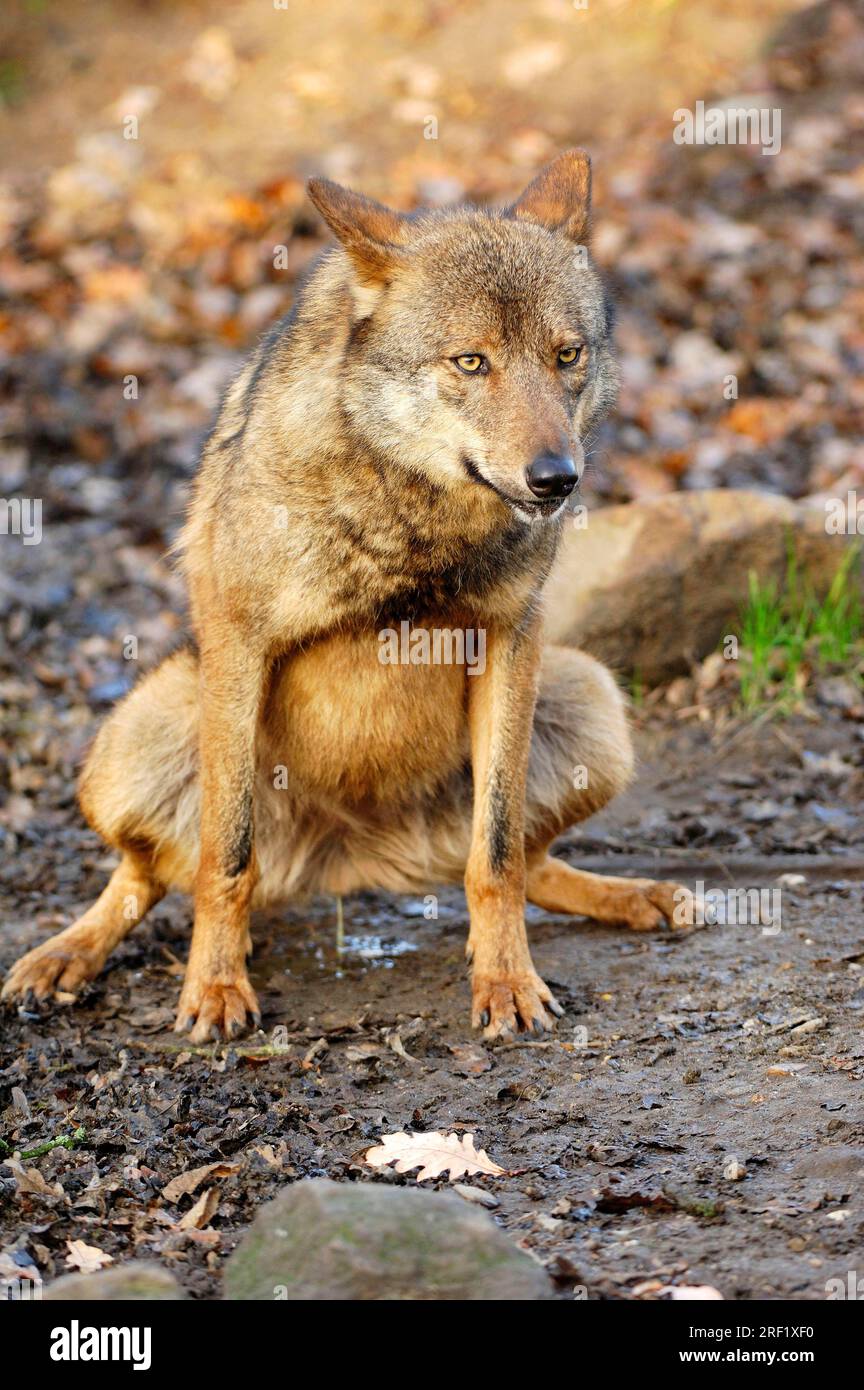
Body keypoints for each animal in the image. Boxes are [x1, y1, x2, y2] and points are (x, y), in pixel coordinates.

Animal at [3, 151, 691, 1042]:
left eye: (566, 356)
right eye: (471, 362)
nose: (556, 478)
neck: (412, 521)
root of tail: (355, 866)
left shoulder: (512, 640)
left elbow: (498, 856)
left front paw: (506, 982)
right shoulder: (239, 642)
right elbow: (226, 857)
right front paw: (214, 989)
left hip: (586, 689)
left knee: (521, 861)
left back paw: (637, 898)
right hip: (145, 725)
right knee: (155, 874)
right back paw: (64, 958)